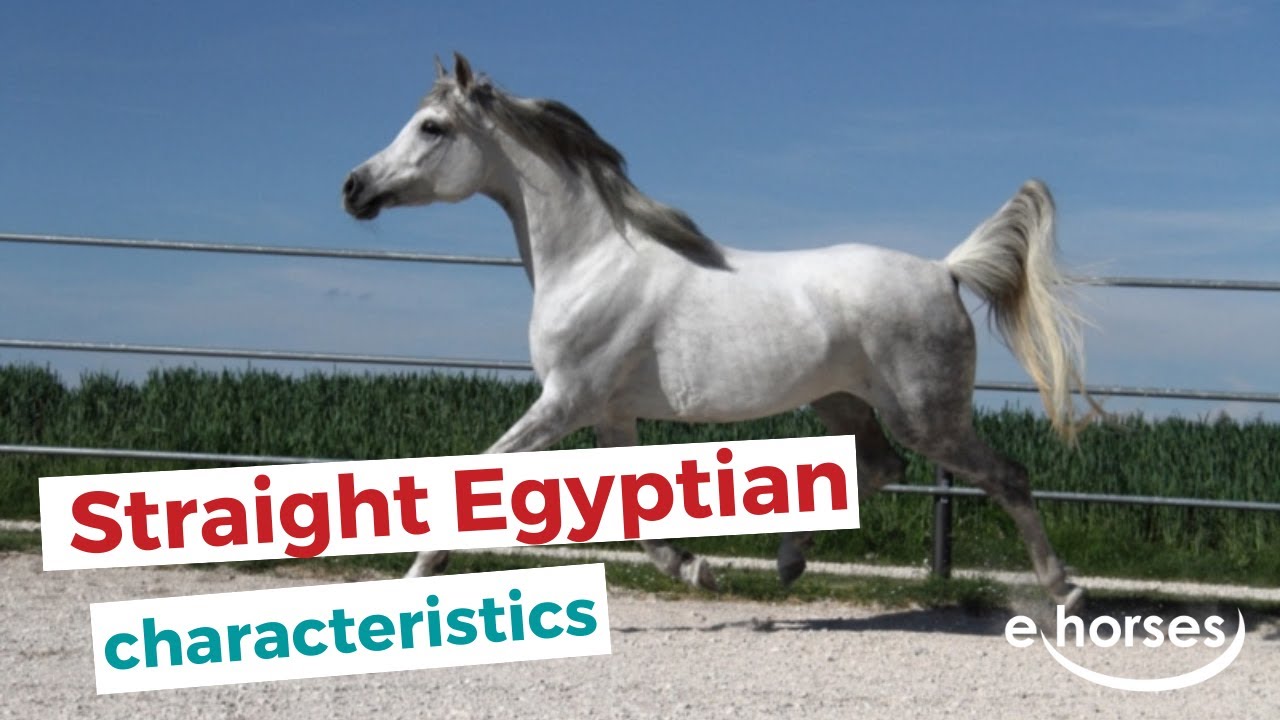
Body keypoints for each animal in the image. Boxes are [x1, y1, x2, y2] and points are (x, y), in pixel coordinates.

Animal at [342, 53, 1098, 612]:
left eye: (432, 127)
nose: (354, 187)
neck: (591, 259)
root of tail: (945, 271)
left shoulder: (565, 401)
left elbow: (485, 473)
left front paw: (415, 577)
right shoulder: (609, 412)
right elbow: (632, 513)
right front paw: (696, 568)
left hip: (927, 415)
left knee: (1006, 476)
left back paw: (1065, 590)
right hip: (844, 402)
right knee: (882, 466)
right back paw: (788, 561)